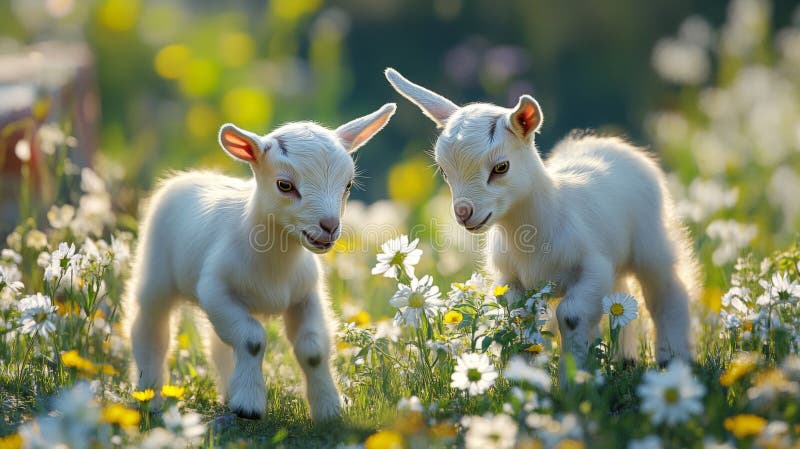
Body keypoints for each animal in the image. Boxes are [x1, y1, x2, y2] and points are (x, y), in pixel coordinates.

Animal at [126, 103, 397, 421]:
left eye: (348, 184)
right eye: (285, 185)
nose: (329, 226)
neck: (276, 263)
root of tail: (191, 175)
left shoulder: (306, 296)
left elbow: (313, 350)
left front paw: (328, 410)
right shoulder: (216, 291)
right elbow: (252, 340)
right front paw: (249, 406)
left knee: (218, 345)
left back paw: (227, 392)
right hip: (155, 272)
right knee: (151, 330)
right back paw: (150, 396)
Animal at [384, 68, 697, 371]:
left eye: (501, 167)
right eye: (444, 171)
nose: (464, 213)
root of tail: (607, 142)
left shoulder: (593, 267)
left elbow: (571, 315)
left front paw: (574, 378)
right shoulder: (512, 281)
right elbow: (521, 322)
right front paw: (531, 377)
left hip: (651, 242)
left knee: (666, 292)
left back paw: (672, 358)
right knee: (619, 299)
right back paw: (625, 359)